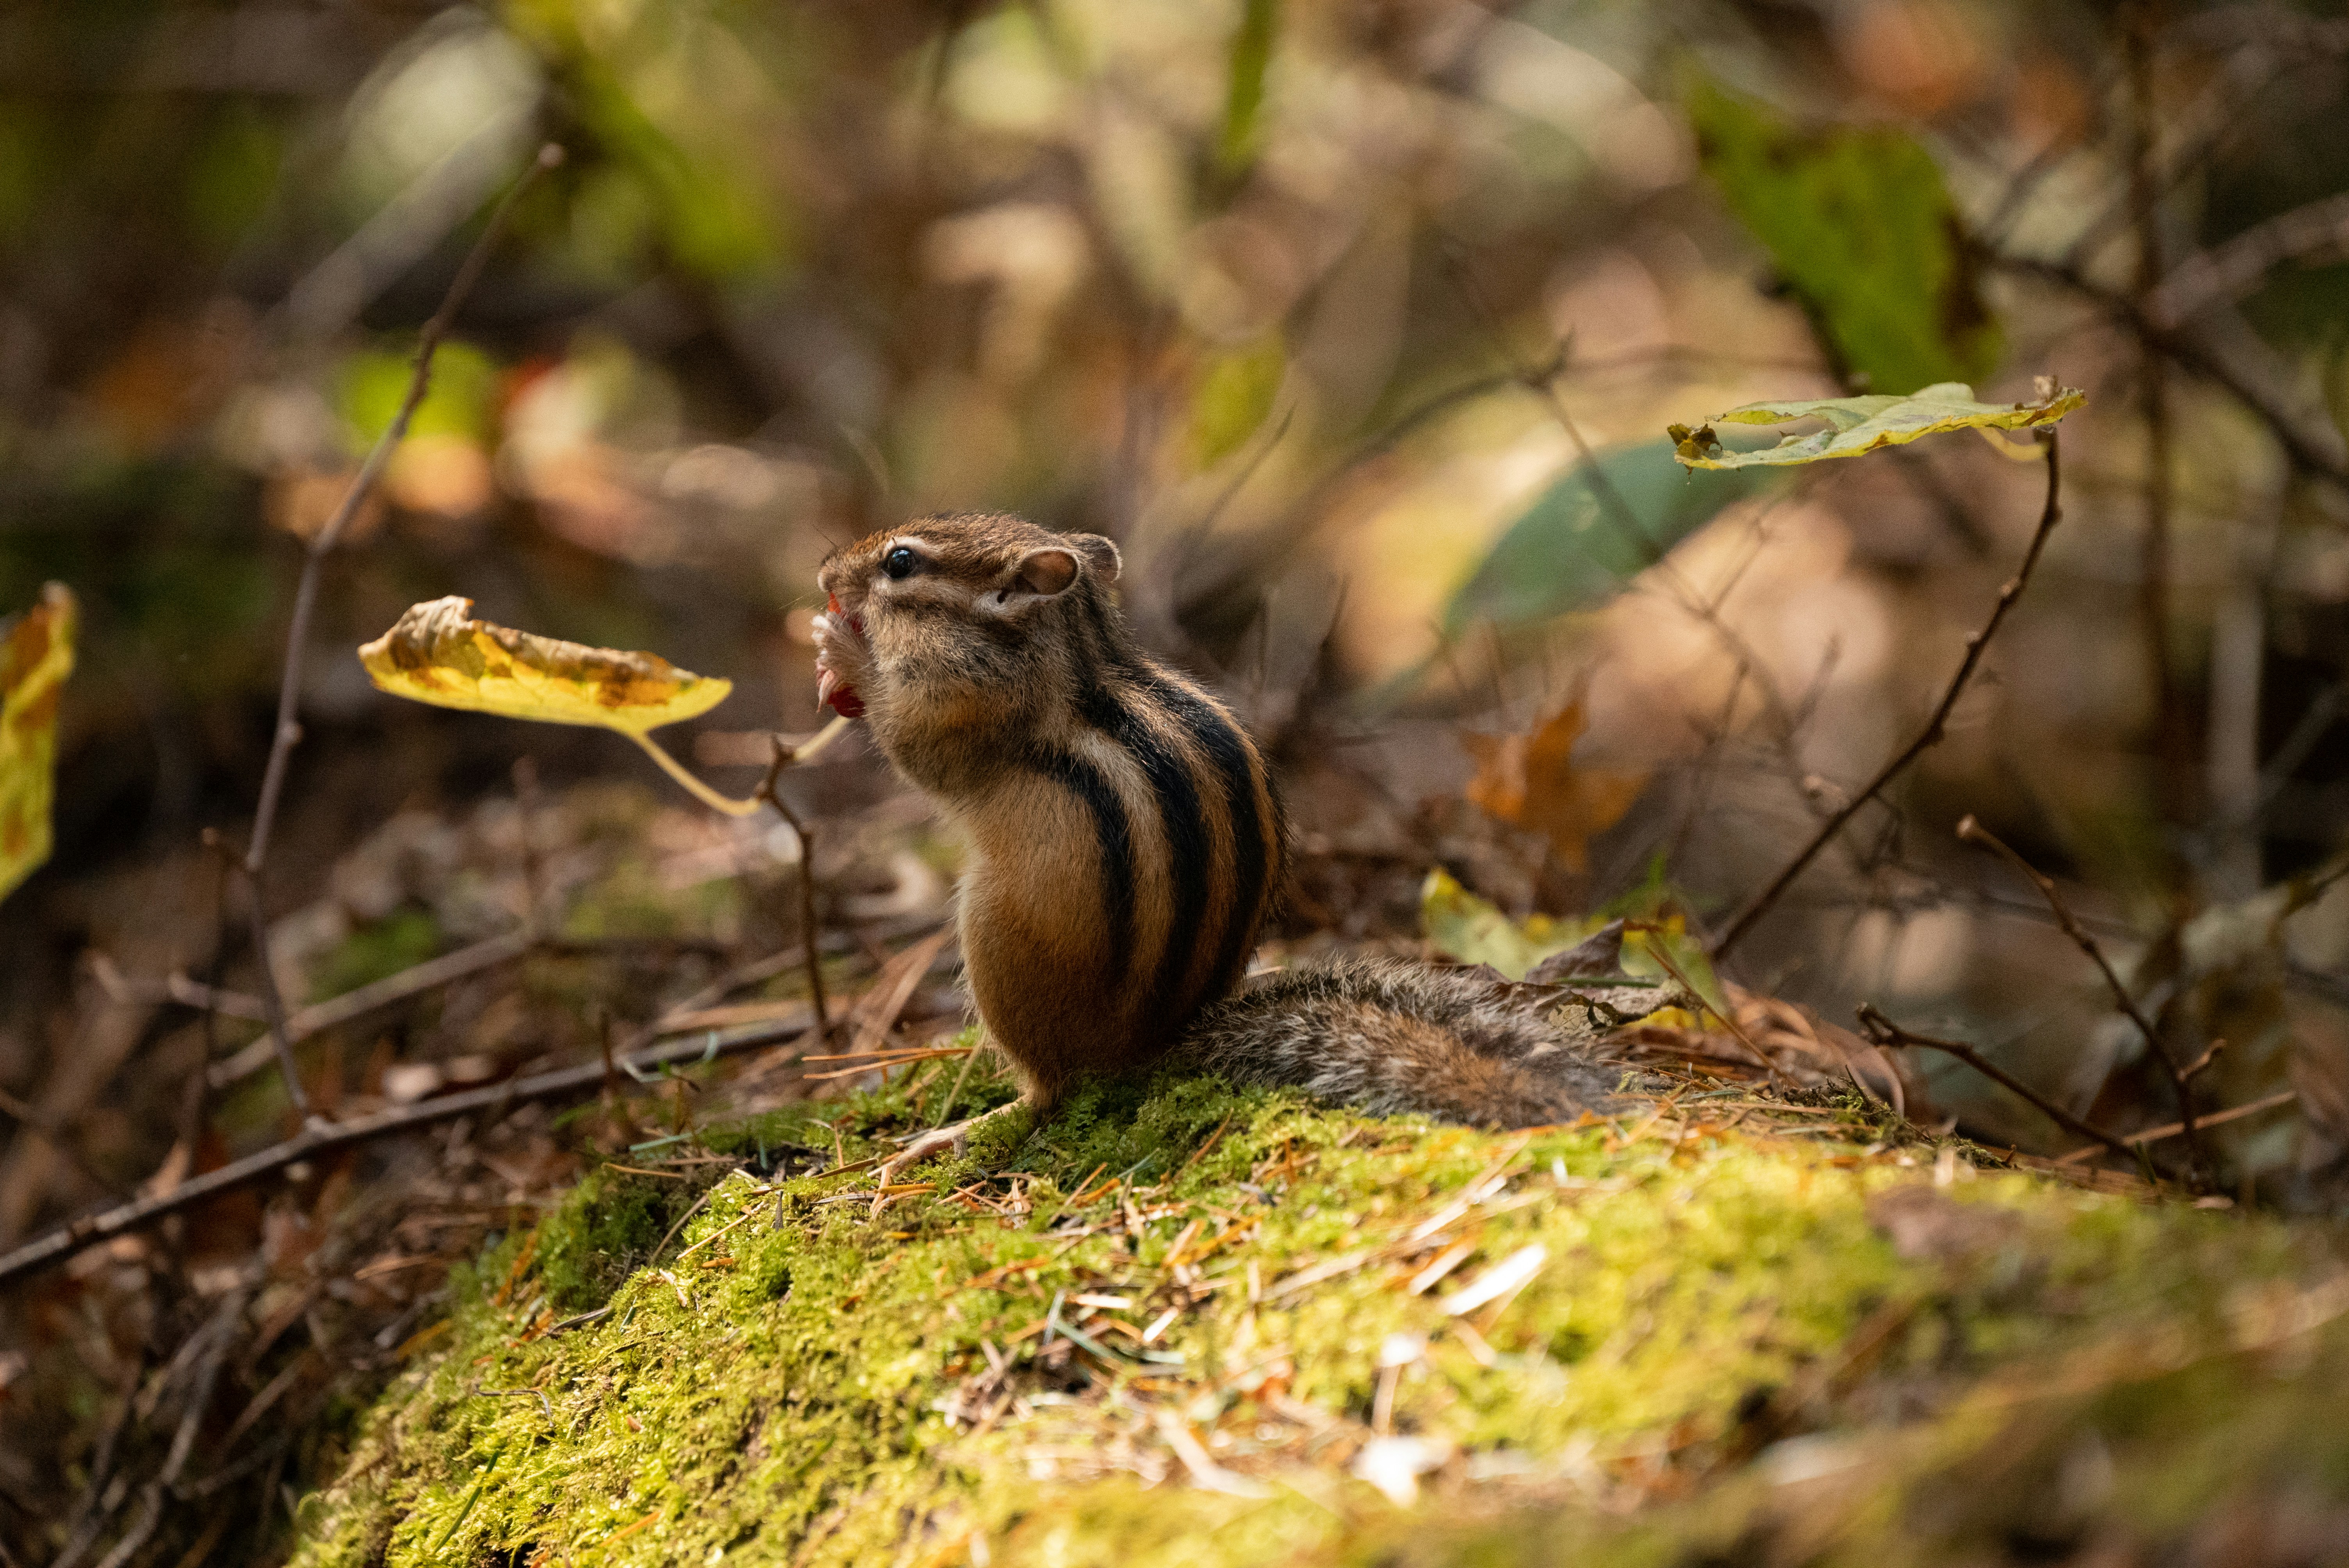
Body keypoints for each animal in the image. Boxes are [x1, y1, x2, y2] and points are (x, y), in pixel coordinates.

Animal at [810, 511, 1633, 1173]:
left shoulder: (964, 702)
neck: (1073, 655)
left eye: (900, 563)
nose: (823, 574)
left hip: (992, 946)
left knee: (1049, 1092)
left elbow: (914, 747)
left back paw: (954, 1133)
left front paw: (844, 655)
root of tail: (1149, 1050)